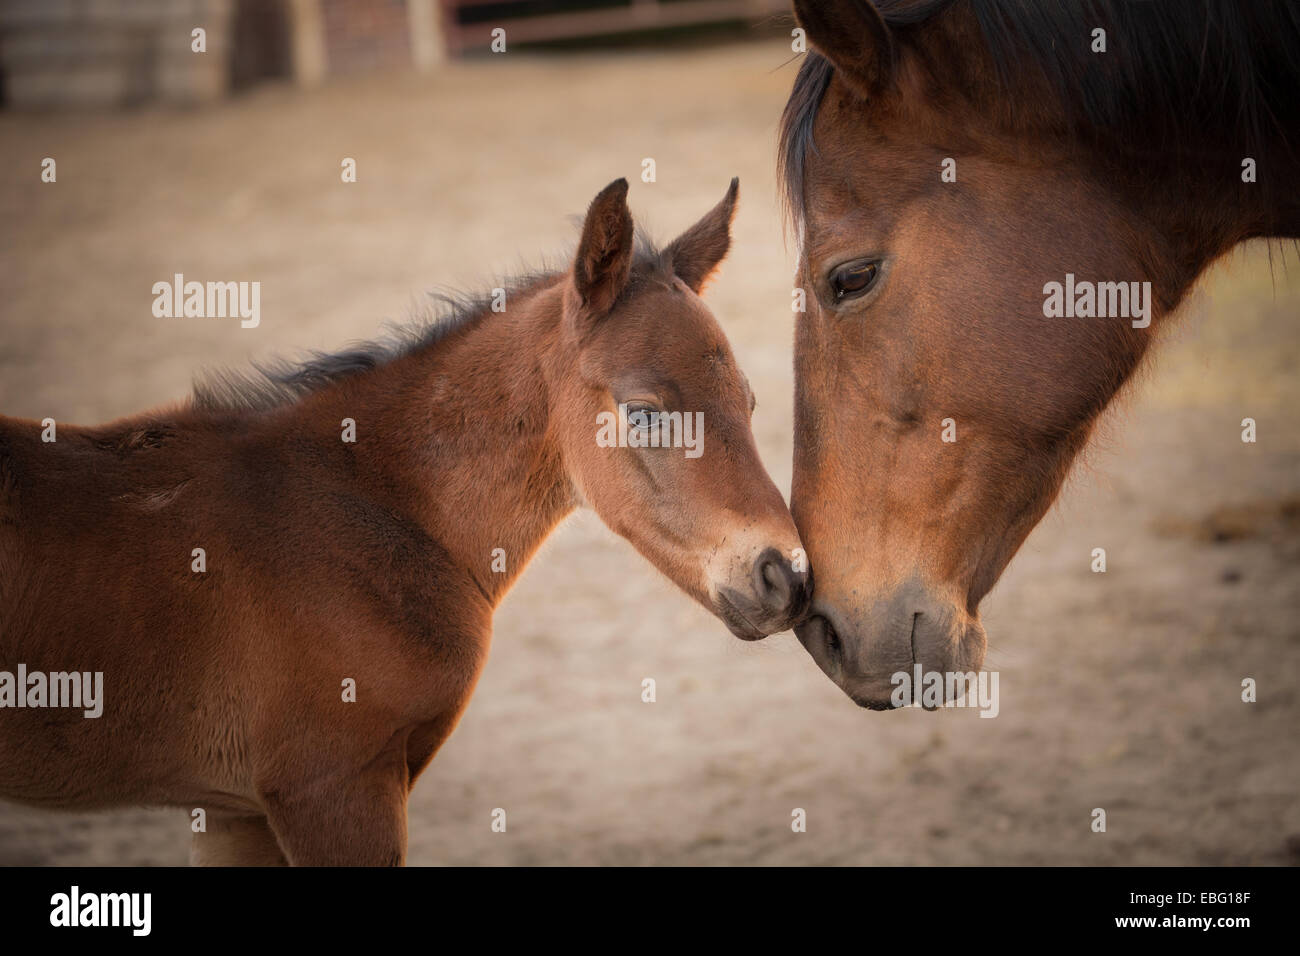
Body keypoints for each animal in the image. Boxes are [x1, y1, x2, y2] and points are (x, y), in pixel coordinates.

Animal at [0, 178, 810, 864]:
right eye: (642, 411)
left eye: (749, 402)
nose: (787, 577)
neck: (366, 503)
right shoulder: (332, 785)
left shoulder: (233, 810)